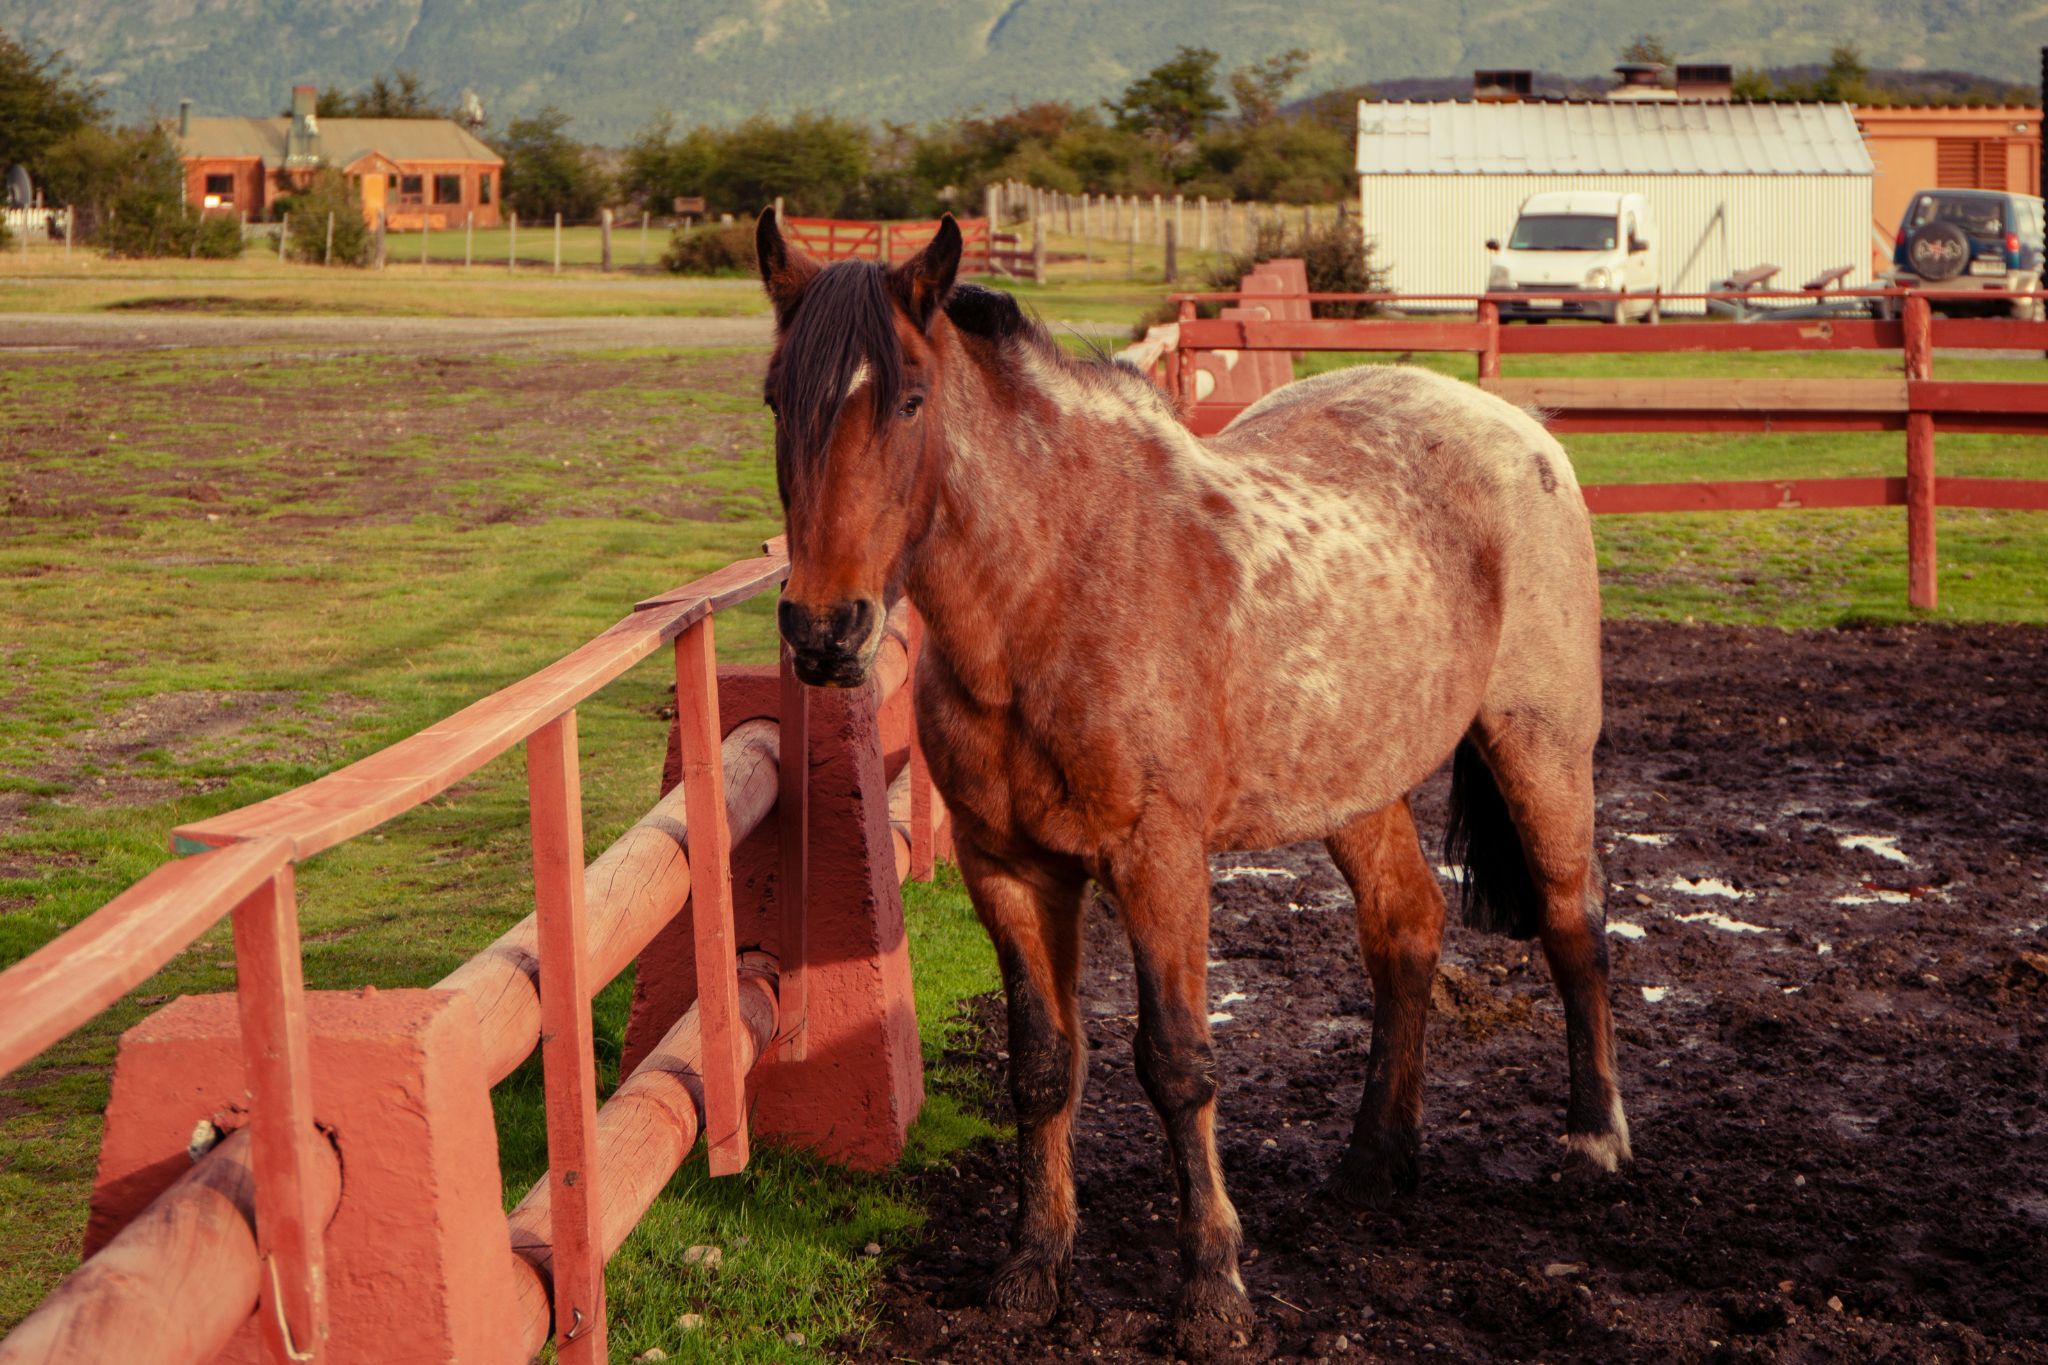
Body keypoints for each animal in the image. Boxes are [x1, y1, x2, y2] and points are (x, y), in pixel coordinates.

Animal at [754, 210, 1628, 1349]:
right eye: (776, 398)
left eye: (907, 399)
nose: (824, 633)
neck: (1054, 591)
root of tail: (1515, 428)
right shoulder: (1009, 870)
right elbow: (1043, 1065)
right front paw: (1033, 1266)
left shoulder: (1158, 859)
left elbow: (1176, 1061)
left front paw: (1213, 1285)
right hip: (1355, 785)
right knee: (1404, 929)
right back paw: (1373, 1160)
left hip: (1542, 746)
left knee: (1574, 923)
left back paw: (1594, 1143)